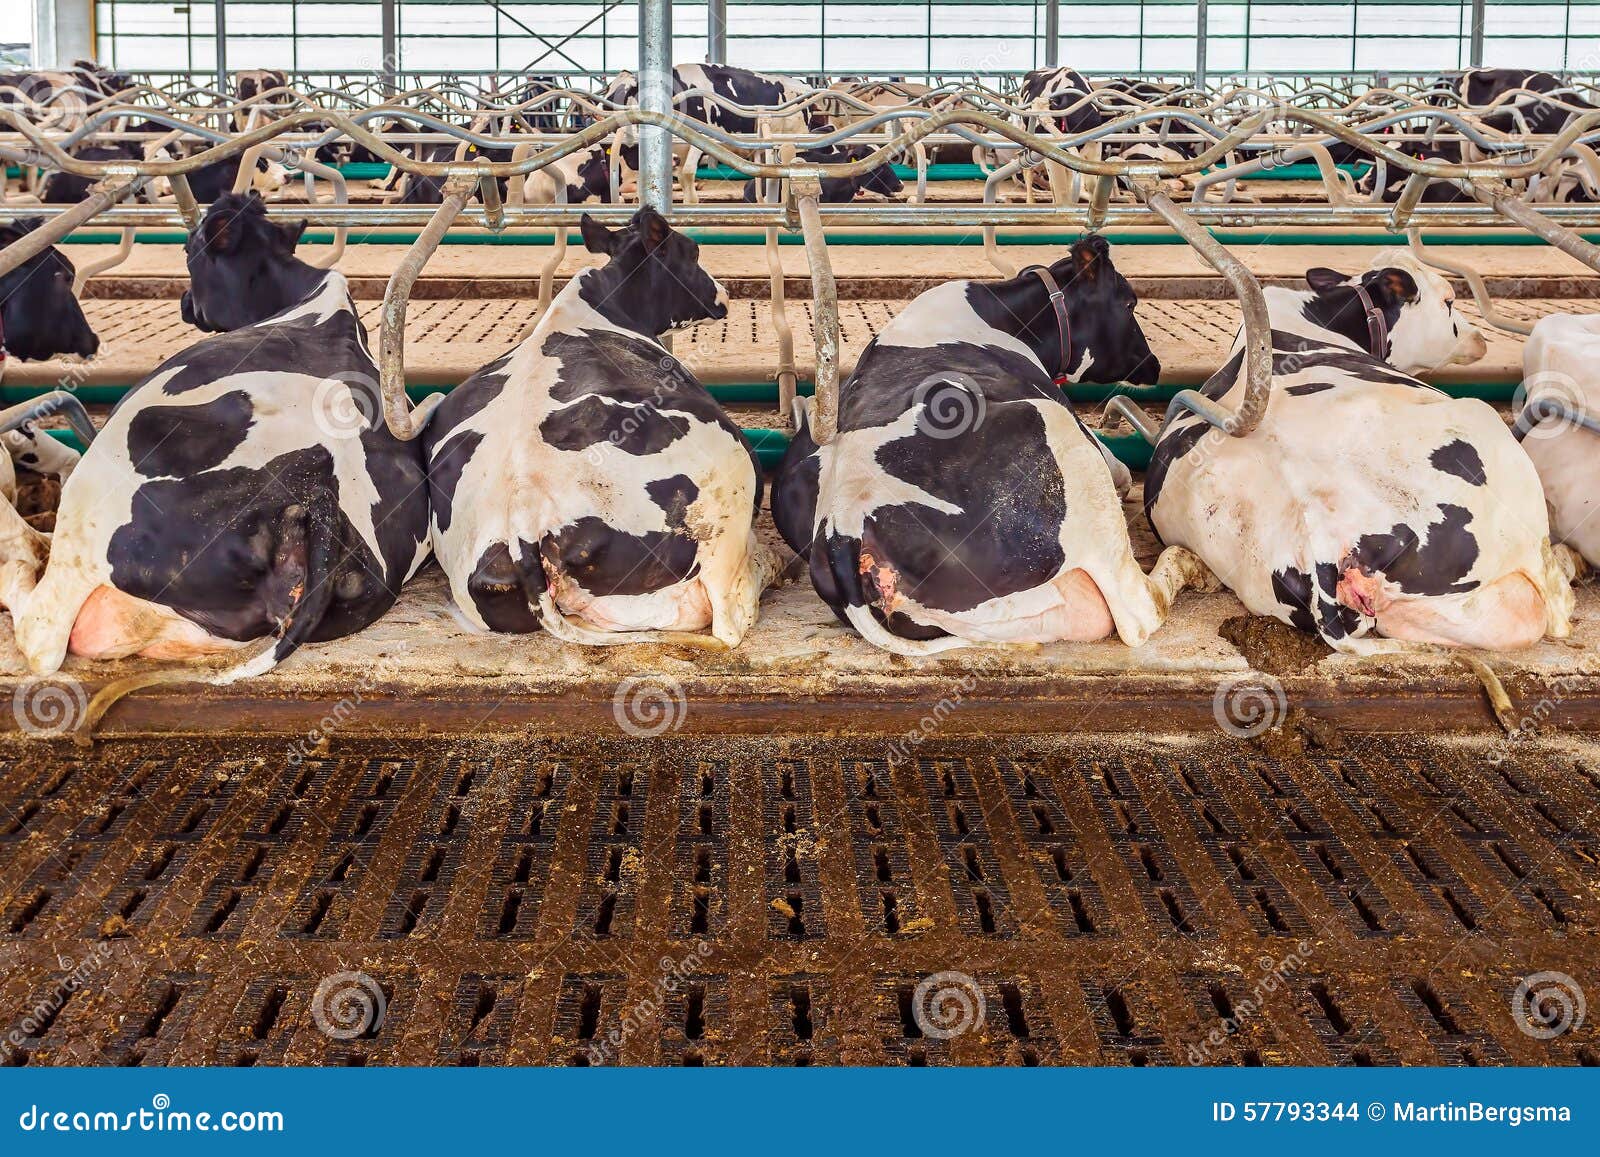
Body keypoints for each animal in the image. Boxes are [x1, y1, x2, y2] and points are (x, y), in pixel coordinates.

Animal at [770, 237, 1215, 655]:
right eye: (1128, 302)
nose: (1153, 365)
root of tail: (840, 524)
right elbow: (1120, 469)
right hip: (1062, 452)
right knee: (1138, 612)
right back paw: (1190, 564)